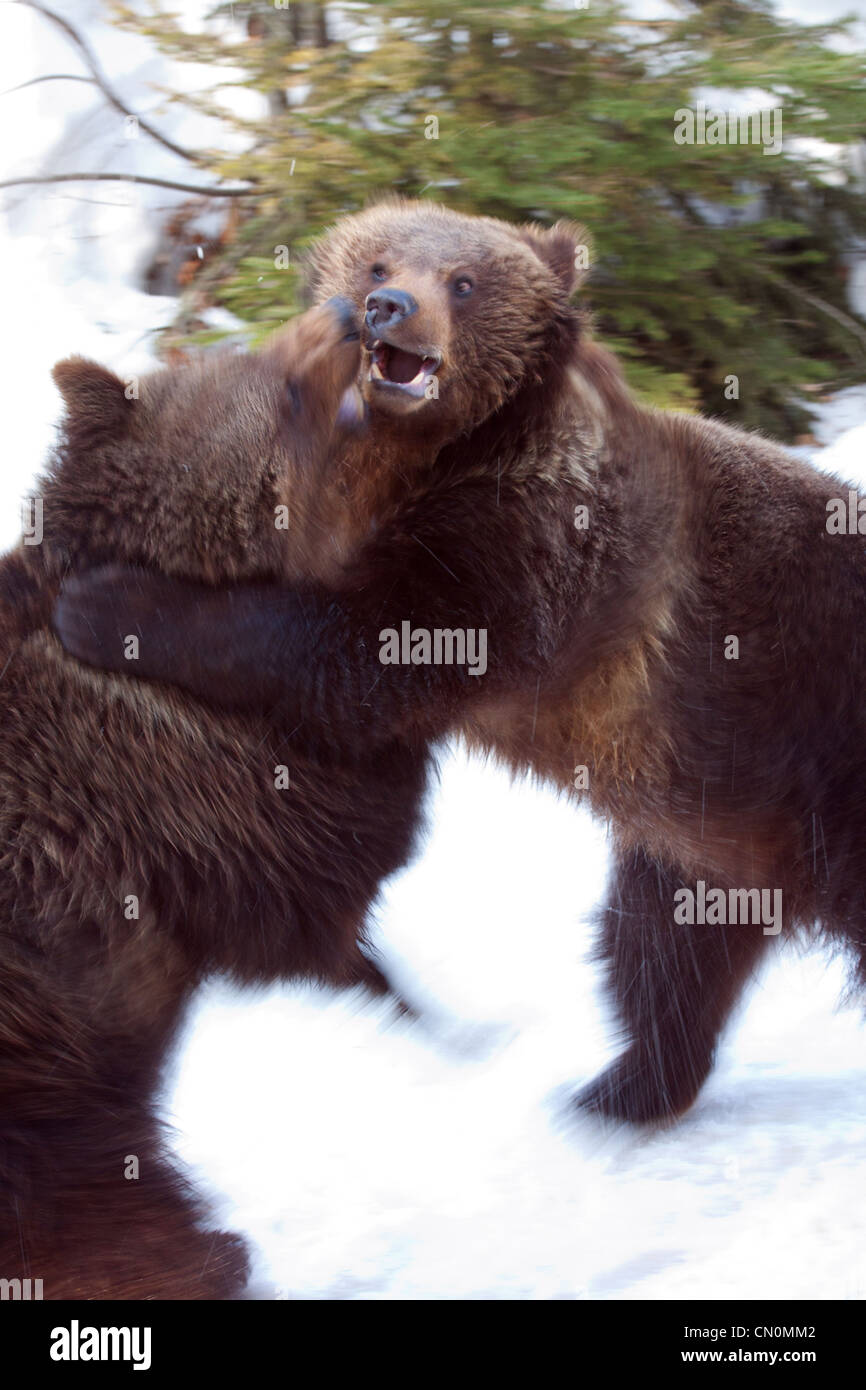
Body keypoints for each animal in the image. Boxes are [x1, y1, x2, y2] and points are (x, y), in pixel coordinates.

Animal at [54, 197, 866, 1126]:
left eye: (465, 280)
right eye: (377, 263)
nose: (387, 308)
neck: (420, 463)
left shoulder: (529, 549)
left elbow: (361, 652)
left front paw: (107, 603)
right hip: (708, 829)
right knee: (665, 949)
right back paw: (616, 1091)